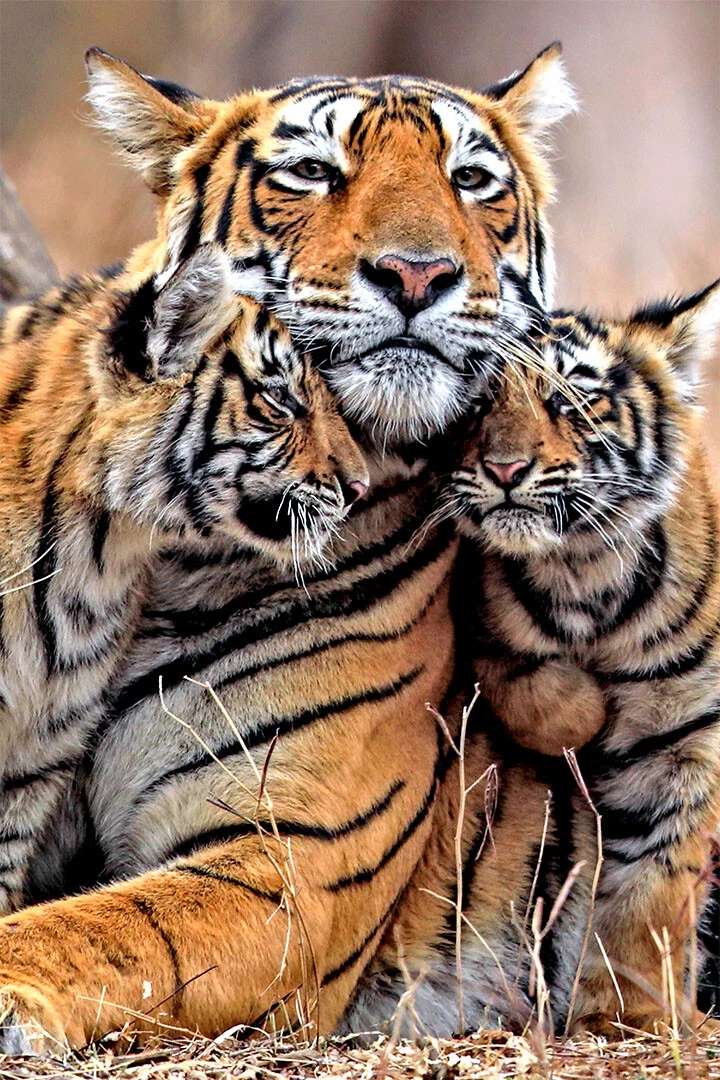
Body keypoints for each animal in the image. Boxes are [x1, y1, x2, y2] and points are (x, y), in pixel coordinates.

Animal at [345, 282, 720, 1037]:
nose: (505, 470)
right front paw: (589, 713)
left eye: (575, 396)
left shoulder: (686, 741)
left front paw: (635, 1012)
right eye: (477, 404)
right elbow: (536, 693)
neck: (586, 574)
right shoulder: (485, 630)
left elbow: (658, 885)